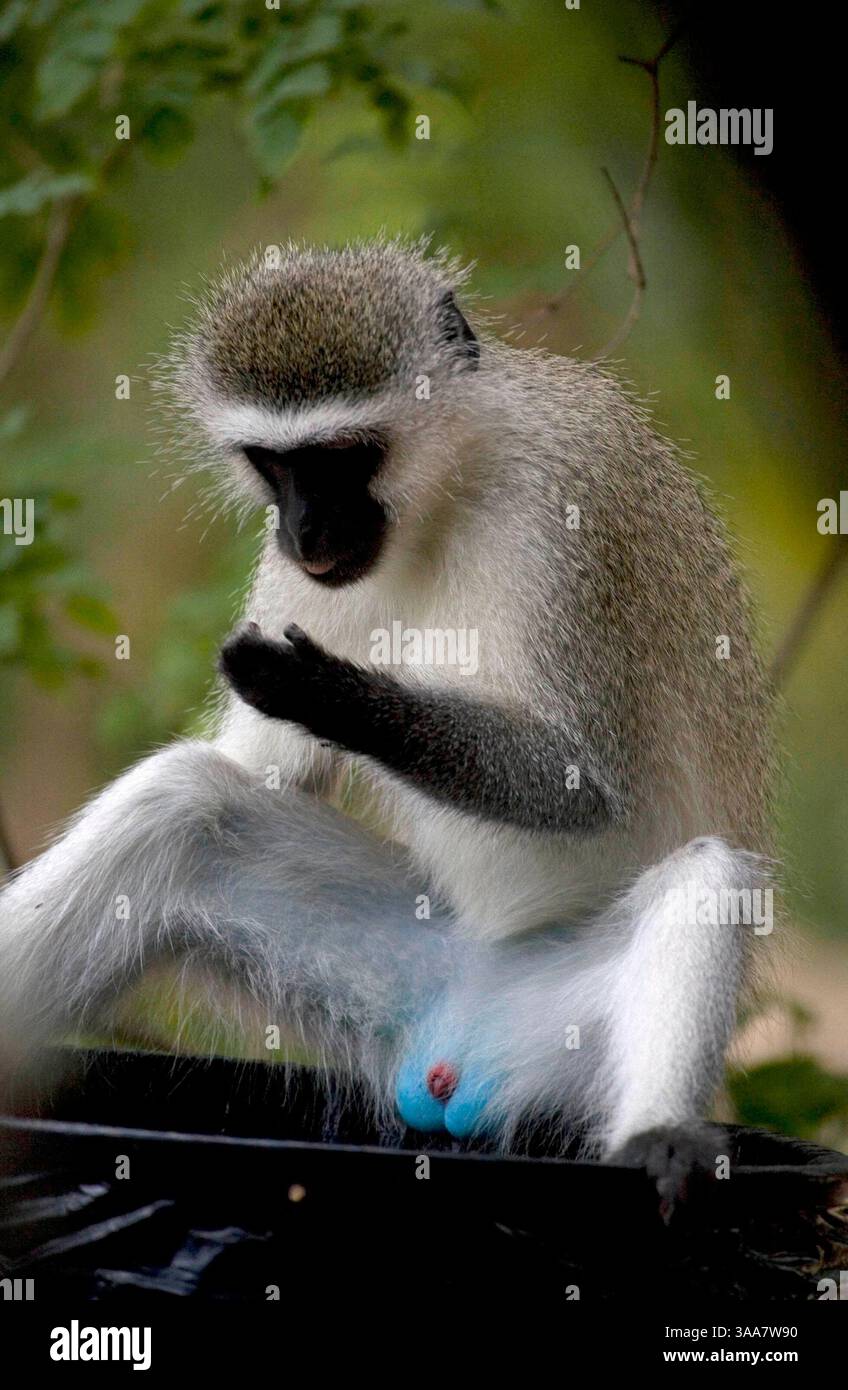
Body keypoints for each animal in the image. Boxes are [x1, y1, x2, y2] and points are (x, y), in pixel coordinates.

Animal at [0, 238, 774, 1197]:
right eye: (275, 464)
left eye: (342, 456)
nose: (304, 530)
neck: (446, 492)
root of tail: (461, 1036)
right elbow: (260, 771)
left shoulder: (570, 515)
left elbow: (580, 785)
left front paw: (323, 689)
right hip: (396, 971)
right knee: (184, 802)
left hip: (566, 1024)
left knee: (708, 879)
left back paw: (656, 1137)